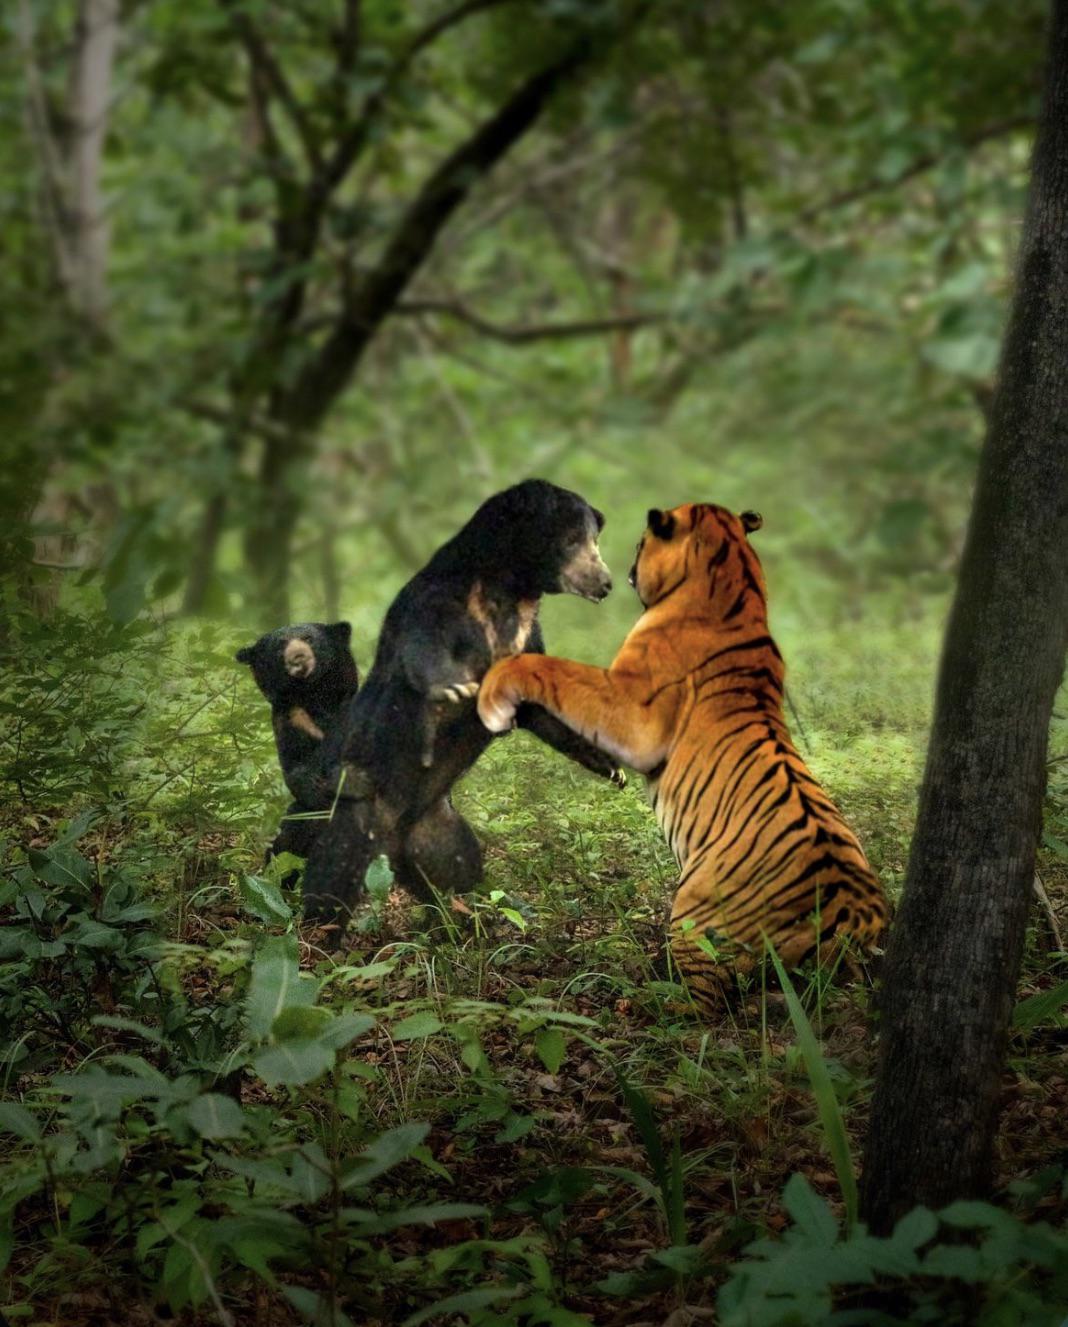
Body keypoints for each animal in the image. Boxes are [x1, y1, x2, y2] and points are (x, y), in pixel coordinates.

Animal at [235, 621, 360, 863]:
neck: (313, 695)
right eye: (280, 645)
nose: (298, 656)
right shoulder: (291, 719)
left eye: (308, 638)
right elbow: (295, 767)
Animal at [301, 478, 626, 926]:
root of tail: (391, 840)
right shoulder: (442, 601)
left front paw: (611, 766)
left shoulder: (527, 635)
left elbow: (539, 708)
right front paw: (452, 689)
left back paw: (453, 917)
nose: (605, 582)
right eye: (573, 540)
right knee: (328, 884)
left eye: (595, 539)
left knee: (460, 868)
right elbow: (423, 646)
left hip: (440, 833)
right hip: (355, 816)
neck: (512, 590)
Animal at [477, 502, 889, 1012]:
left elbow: (555, 670)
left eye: (641, 543)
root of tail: (850, 917)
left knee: (703, 1005)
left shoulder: (633, 712)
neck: (735, 585)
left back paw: (645, 1002)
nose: (626, 570)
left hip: (695, 911)